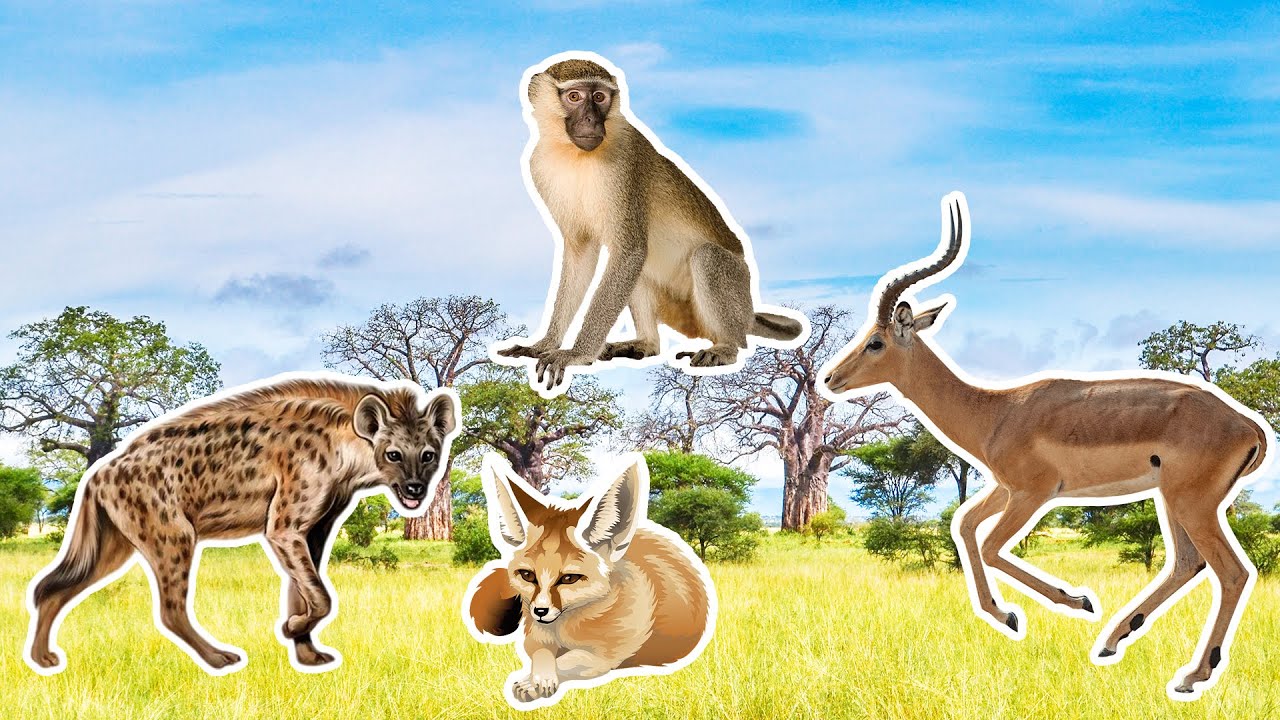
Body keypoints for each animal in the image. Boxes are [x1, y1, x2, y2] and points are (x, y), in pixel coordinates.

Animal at [26, 372, 459, 676]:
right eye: (393, 454)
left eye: (427, 454)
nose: (415, 488)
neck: (343, 451)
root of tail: (99, 472)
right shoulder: (285, 526)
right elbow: (320, 596)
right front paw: (292, 629)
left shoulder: (313, 529)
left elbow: (303, 590)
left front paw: (305, 651)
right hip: (172, 534)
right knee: (169, 610)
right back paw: (218, 657)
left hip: (115, 544)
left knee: (55, 589)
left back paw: (43, 658)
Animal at [462, 453, 716, 708]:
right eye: (527, 576)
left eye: (569, 578)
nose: (540, 611)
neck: (564, 628)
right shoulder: (536, 637)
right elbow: (541, 654)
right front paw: (538, 677)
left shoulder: (604, 657)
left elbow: (569, 660)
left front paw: (532, 682)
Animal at [819, 192, 1272, 699]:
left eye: (876, 342)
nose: (830, 378)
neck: (994, 411)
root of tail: (1248, 426)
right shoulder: (1004, 488)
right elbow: (965, 527)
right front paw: (1005, 615)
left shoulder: (1033, 493)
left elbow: (990, 545)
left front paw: (1072, 601)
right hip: (1173, 500)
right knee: (1187, 564)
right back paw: (1114, 641)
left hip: (1191, 503)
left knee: (1231, 571)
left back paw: (1192, 674)